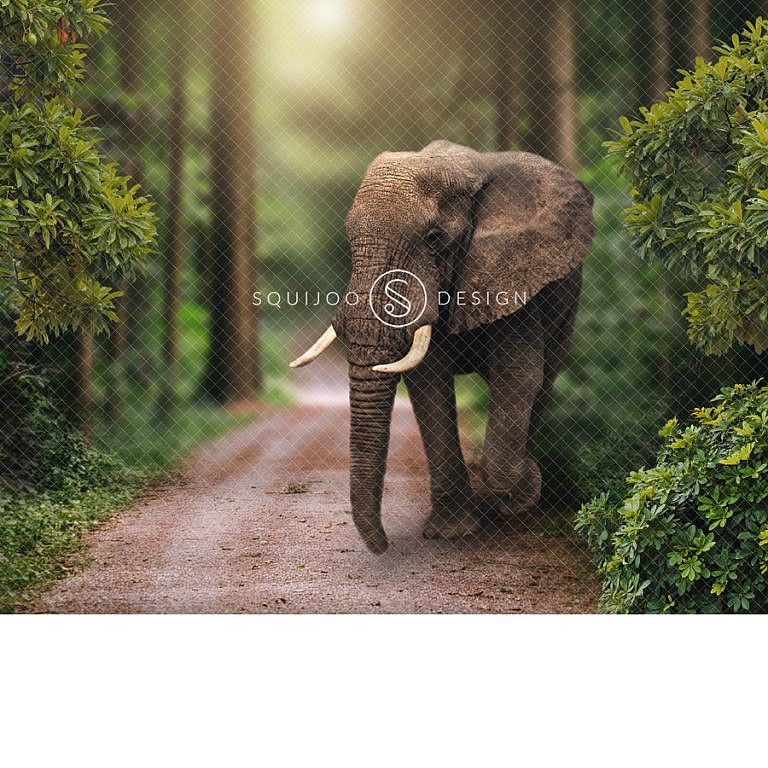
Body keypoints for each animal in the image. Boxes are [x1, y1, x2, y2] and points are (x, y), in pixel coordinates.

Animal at [290, 140, 595, 554]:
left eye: (434, 238)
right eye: (350, 238)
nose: (383, 546)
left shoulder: (514, 273)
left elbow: (518, 377)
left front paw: (518, 490)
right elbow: (428, 384)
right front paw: (451, 533)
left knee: (546, 378)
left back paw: (518, 499)